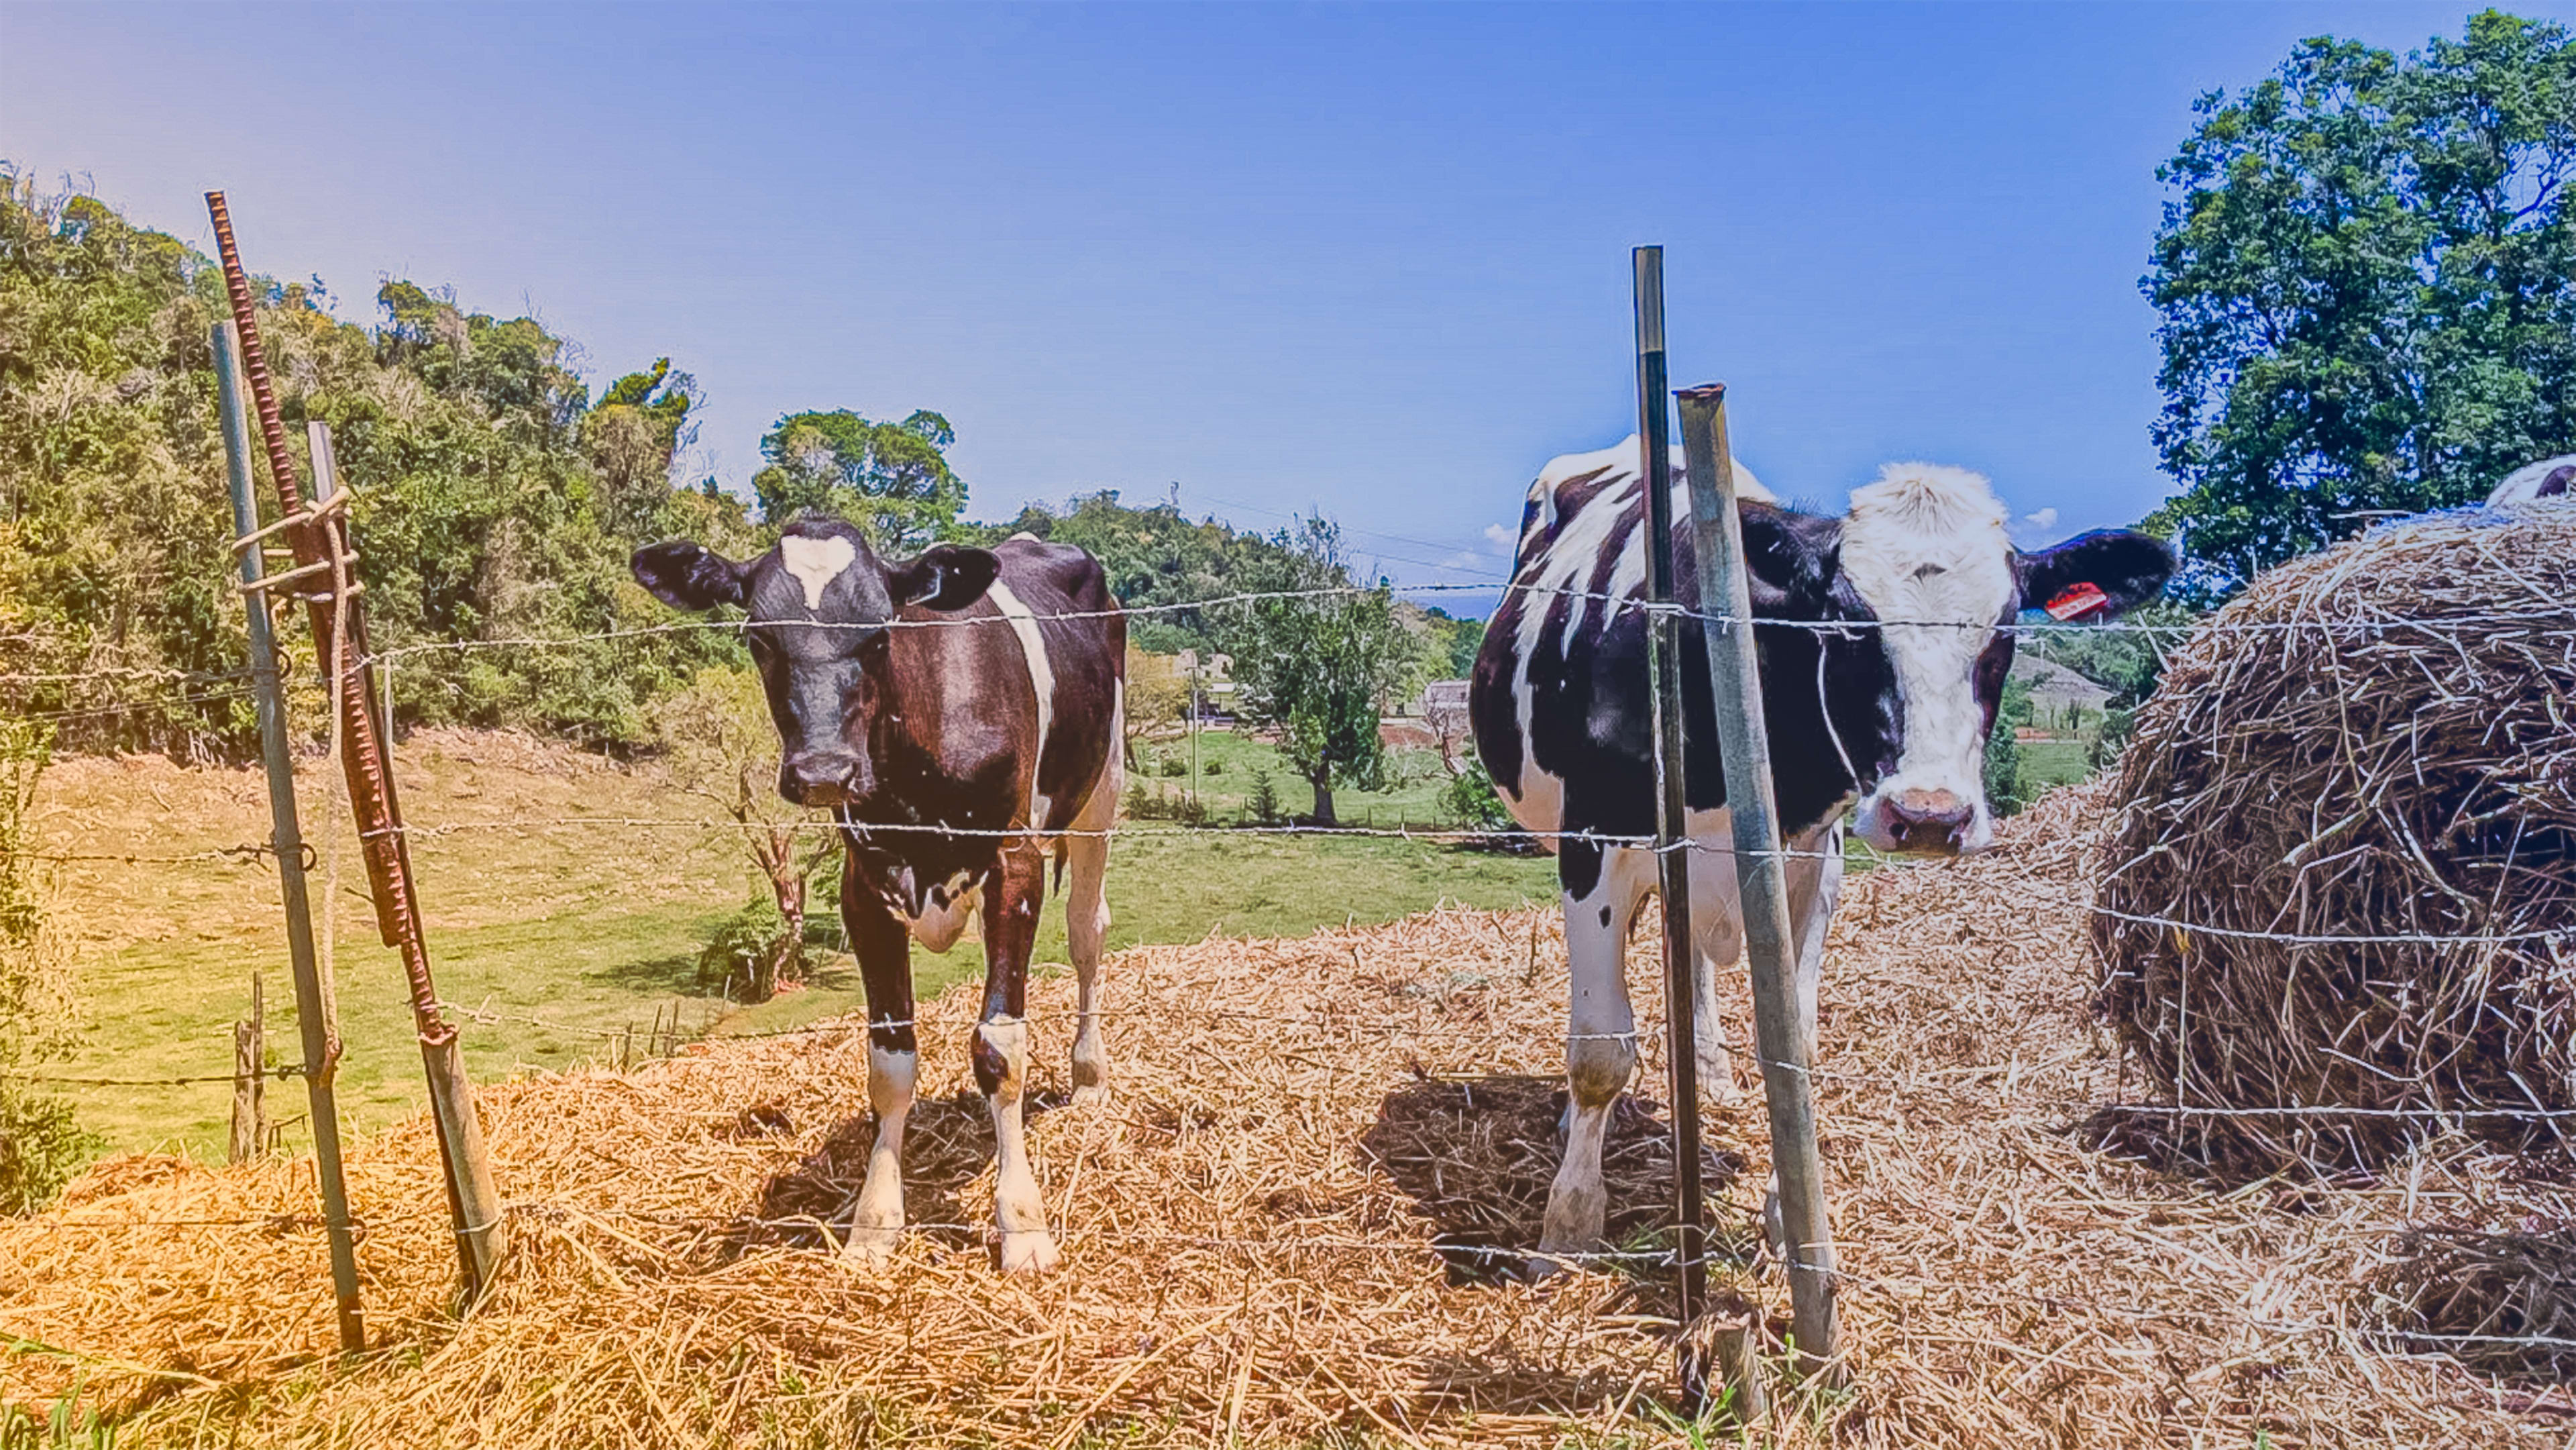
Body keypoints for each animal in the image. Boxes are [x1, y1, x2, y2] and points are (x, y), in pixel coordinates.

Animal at [633, 518, 1124, 1273]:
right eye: (760, 638)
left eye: (878, 635)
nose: (824, 771)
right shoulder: (863, 889)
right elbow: (890, 1061)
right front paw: (875, 1222)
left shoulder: (1015, 865)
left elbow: (999, 1046)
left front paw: (1023, 1225)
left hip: (1102, 790)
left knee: (1086, 934)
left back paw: (1090, 1075)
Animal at [1470, 436, 2173, 1272]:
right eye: (1845, 624)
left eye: (2004, 631)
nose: (1929, 814)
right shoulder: (1592, 844)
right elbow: (1601, 1051)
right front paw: (1569, 1227)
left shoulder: (1813, 857)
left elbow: (1795, 1044)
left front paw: (1793, 1221)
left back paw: (1709, 1070)